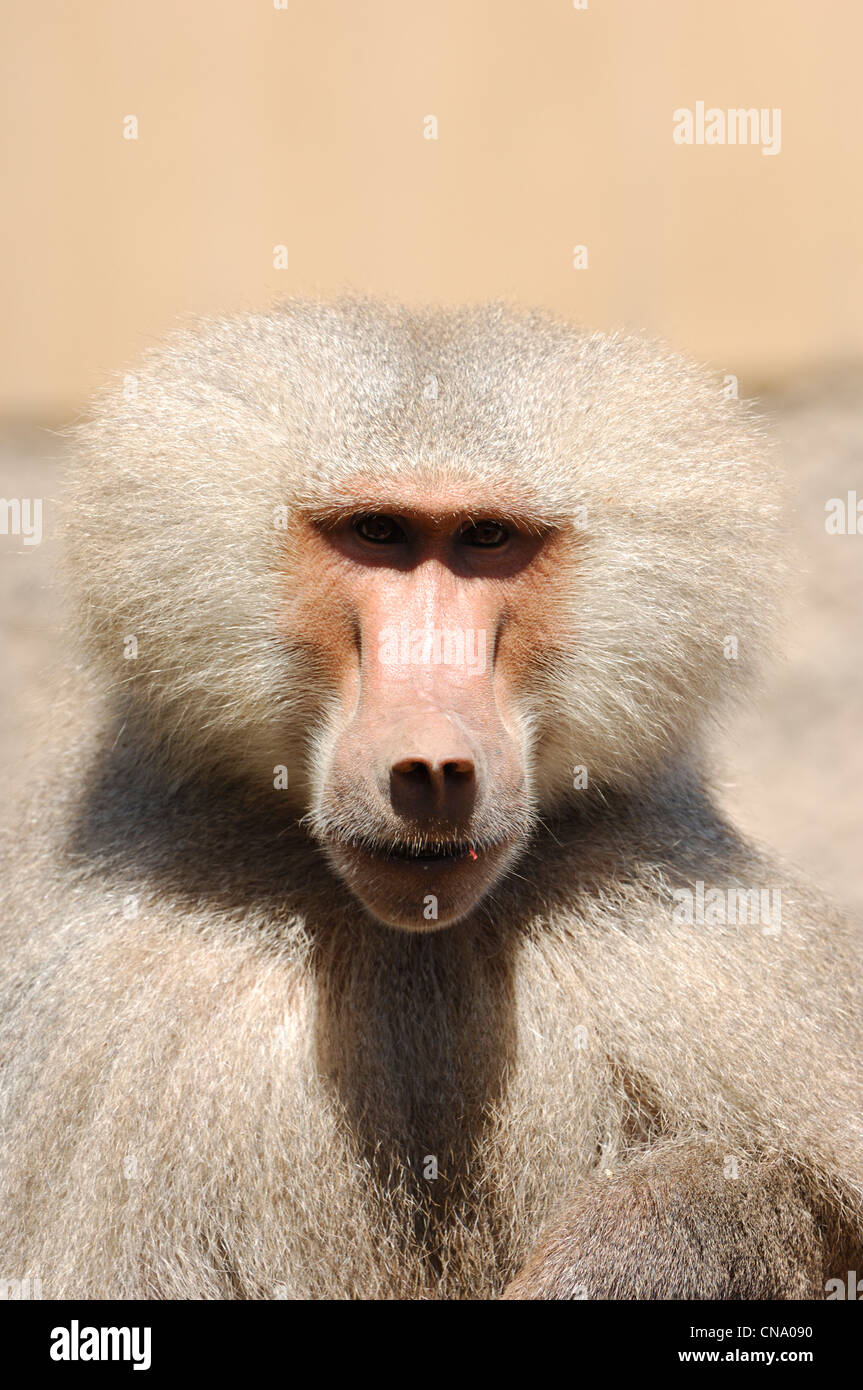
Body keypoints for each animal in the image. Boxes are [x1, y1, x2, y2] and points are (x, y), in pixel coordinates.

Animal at [0, 297, 860, 1300]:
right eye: (378, 533)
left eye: (486, 540)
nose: (434, 768)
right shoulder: (124, 977)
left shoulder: (659, 913)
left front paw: (646, 1235)